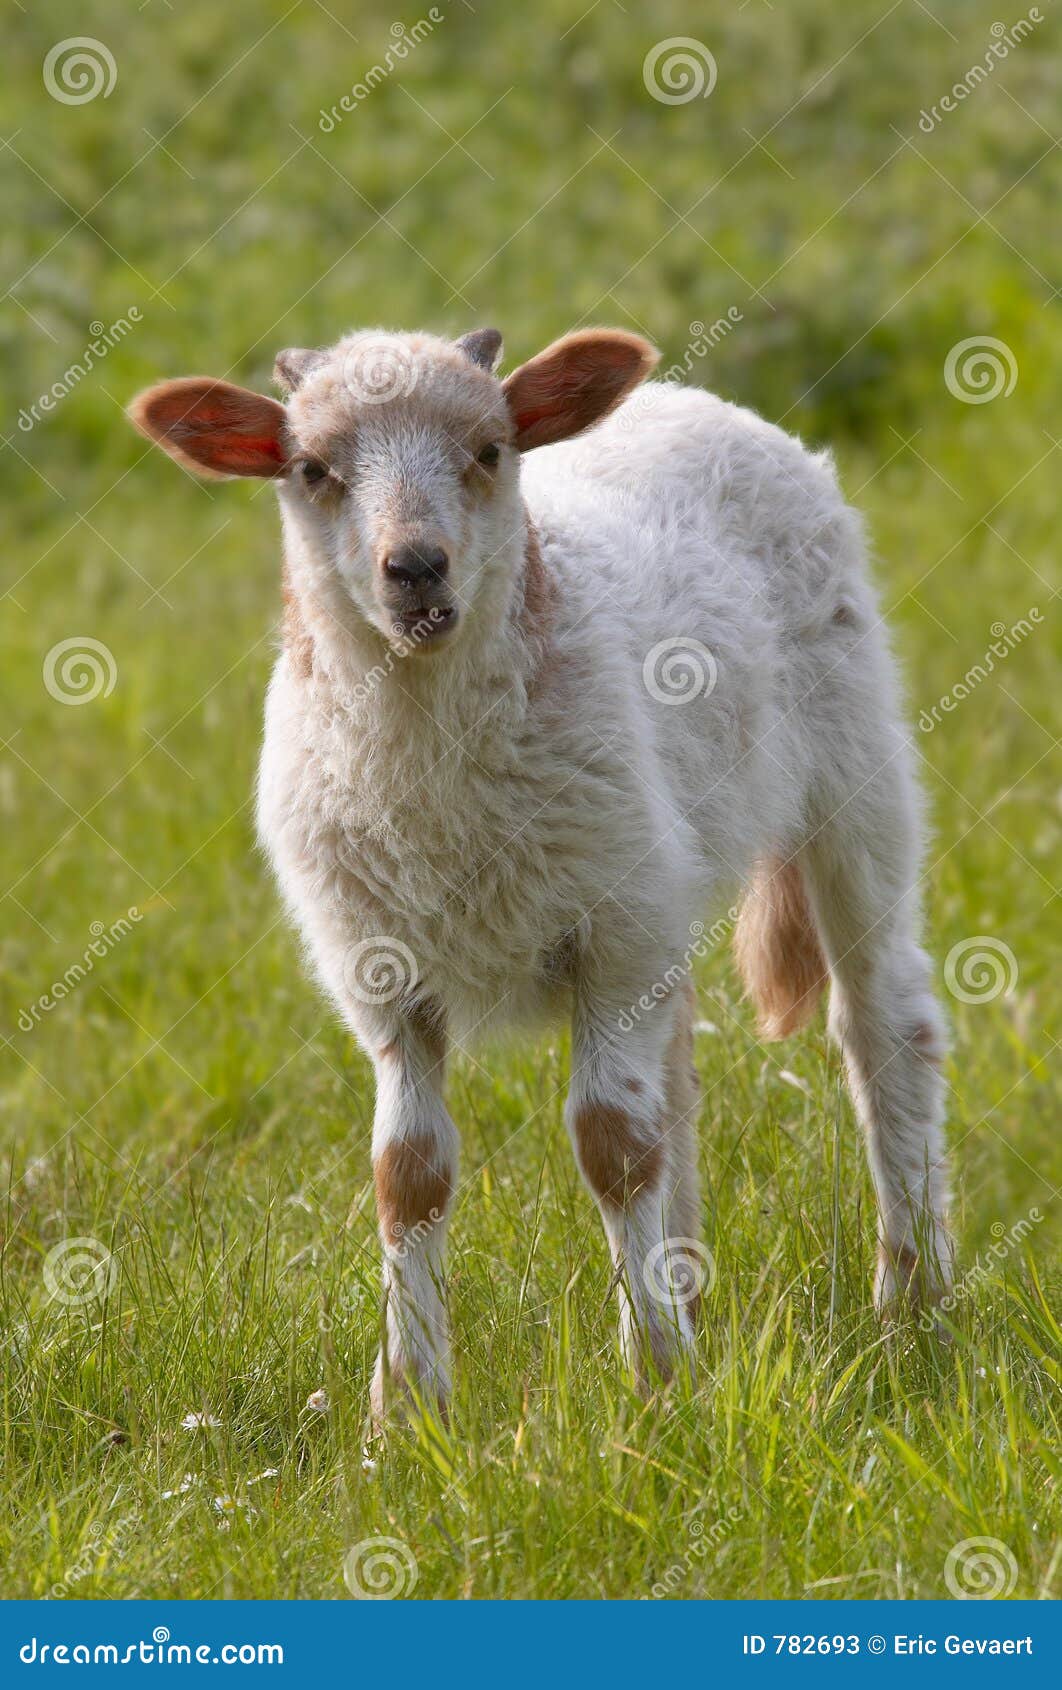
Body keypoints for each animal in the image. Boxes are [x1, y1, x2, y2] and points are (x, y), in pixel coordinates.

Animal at [129, 326, 954, 1419]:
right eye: (310, 470)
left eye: (489, 449)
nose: (416, 568)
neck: (435, 779)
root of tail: (693, 398)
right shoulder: (383, 972)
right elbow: (409, 1174)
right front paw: (410, 1406)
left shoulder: (608, 935)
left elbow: (611, 1146)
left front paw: (653, 1381)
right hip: (654, 877)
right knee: (679, 1073)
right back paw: (694, 1289)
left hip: (849, 761)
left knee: (883, 1020)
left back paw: (913, 1304)